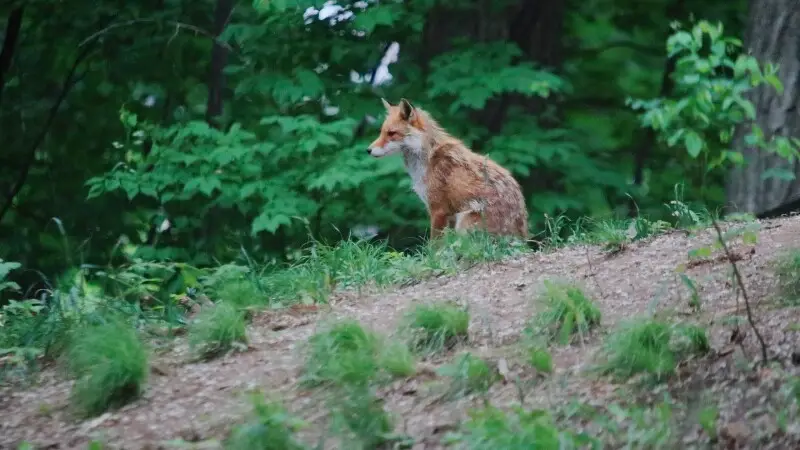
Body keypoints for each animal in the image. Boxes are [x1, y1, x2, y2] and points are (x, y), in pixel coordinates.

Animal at [367, 98, 529, 239]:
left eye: (391, 133)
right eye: (382, 132)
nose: (368, 150)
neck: (426, 159)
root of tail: (521, 238)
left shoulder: (438, 210)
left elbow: (434, 246)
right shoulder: (446, 214)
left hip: (464, 222)